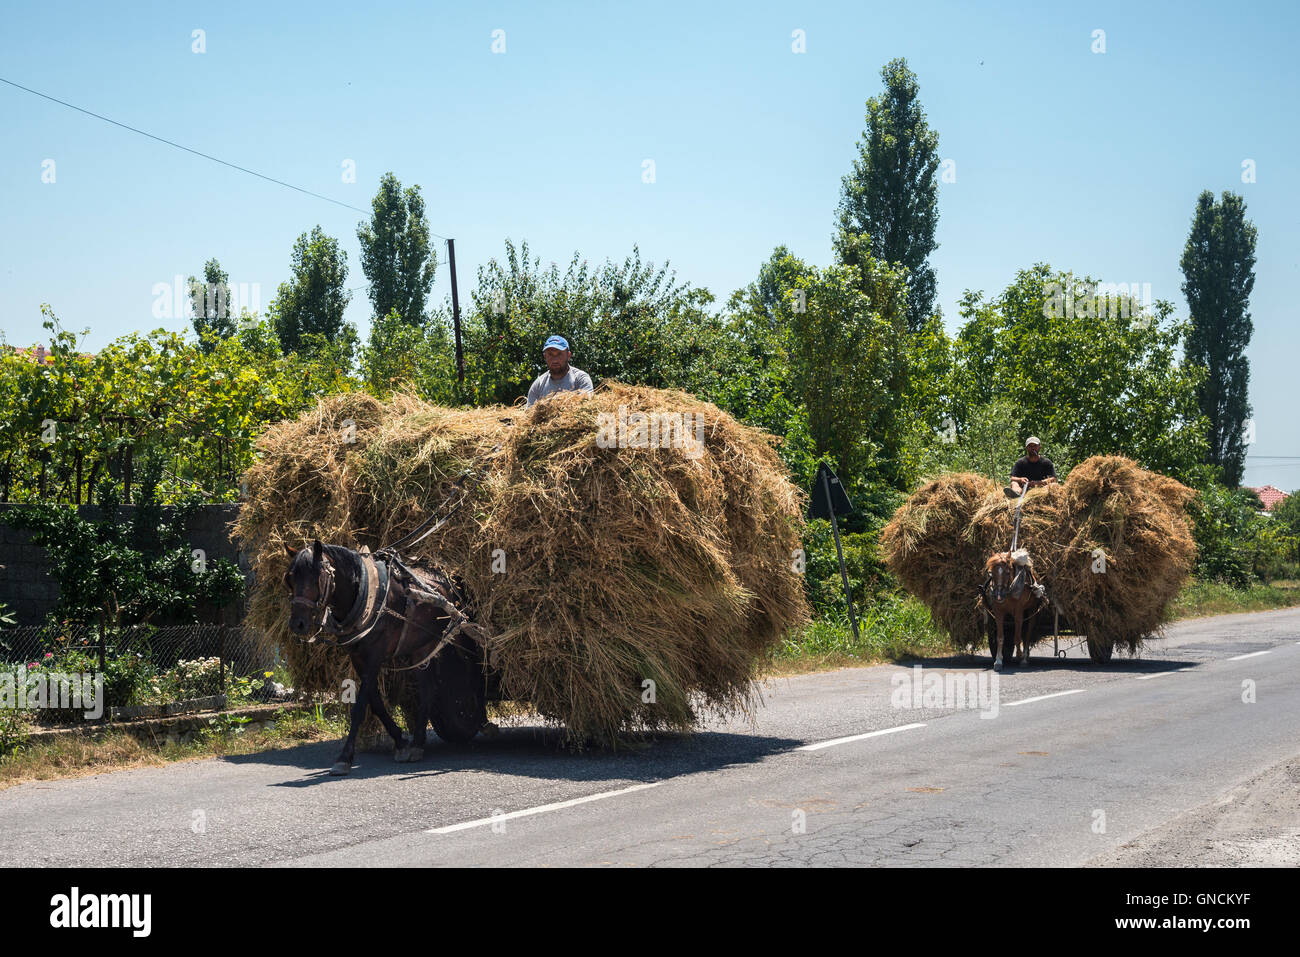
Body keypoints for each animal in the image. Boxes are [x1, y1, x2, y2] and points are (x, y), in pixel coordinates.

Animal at [284, 540, 488, 775]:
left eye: (317, 577)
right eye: (290, 579)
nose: (298, 624)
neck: (367, 593)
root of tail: (449, 575)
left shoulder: (376, 655)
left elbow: (360, 707)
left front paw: (345, 757)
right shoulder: (358, 658)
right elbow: (376, 704)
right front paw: (400, 741)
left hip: (462, 635)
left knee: (474, 669)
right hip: (422, 647)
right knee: (429, 690)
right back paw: (418, 744)